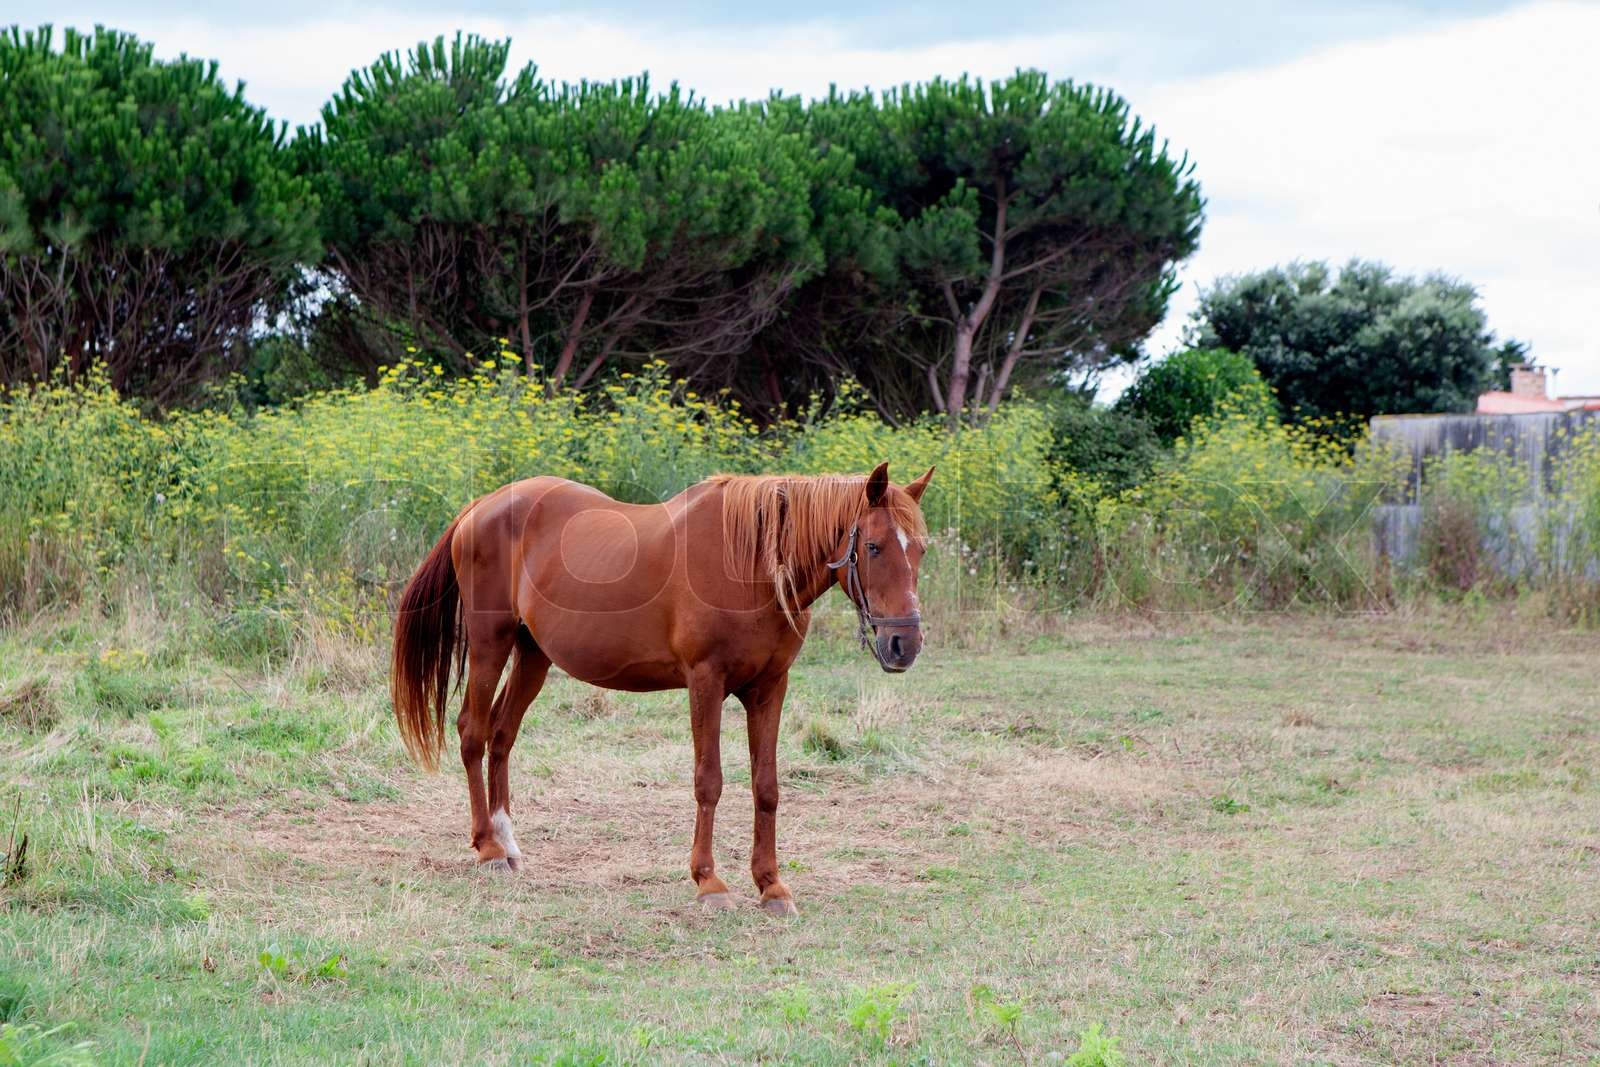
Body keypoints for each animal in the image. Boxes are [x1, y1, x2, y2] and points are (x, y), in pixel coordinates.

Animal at [390, 461, 934, 915]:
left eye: (921, 549)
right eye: (873, 547)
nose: (904, 644)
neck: (752, 566)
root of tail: (482, 506)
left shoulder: (769, 688)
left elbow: (767, 787)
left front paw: (771, 886)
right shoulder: (705, 682)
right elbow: (709, 781)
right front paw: (709, 882)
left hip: (533, 656)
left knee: (502, 735)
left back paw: (508, 843)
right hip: (491, 643)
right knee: (473, 732)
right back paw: (487, 849)